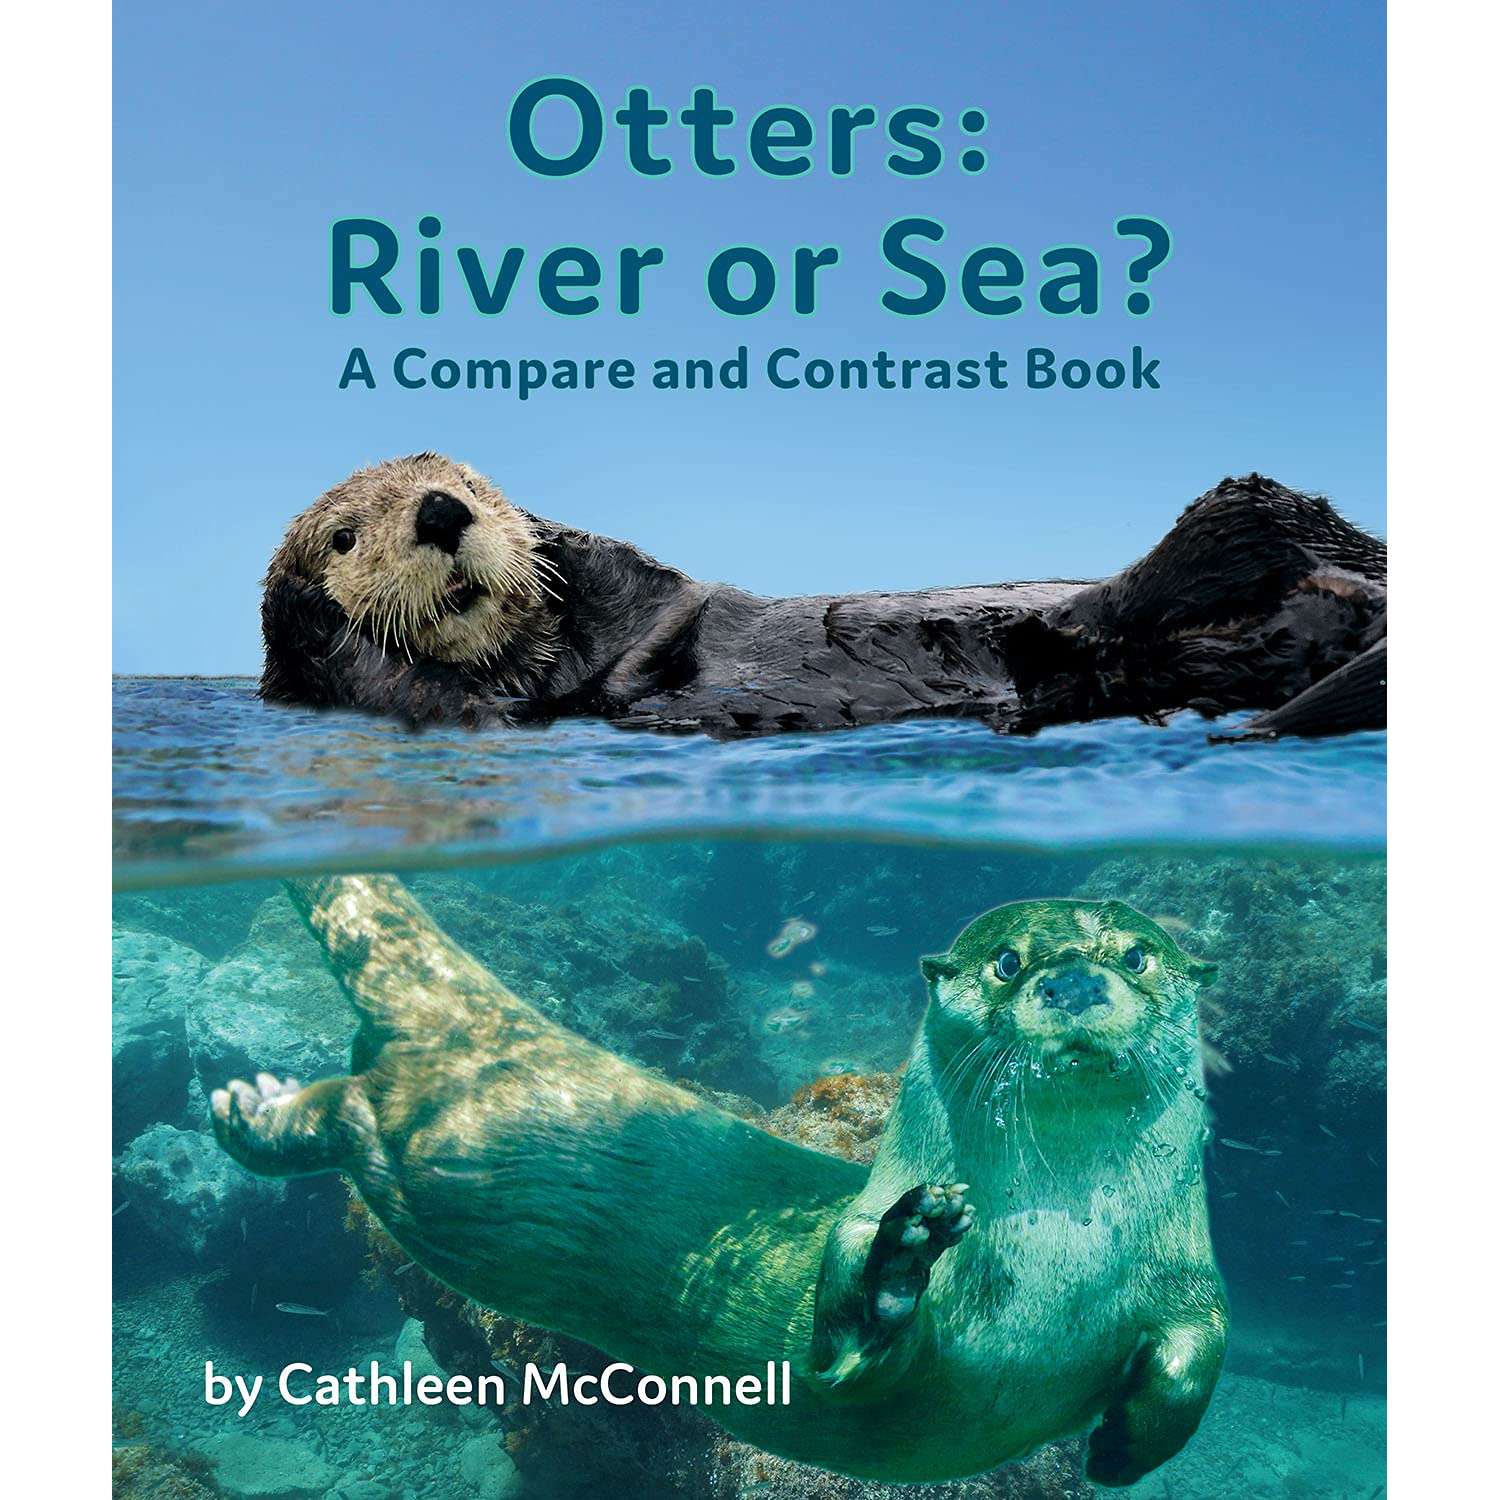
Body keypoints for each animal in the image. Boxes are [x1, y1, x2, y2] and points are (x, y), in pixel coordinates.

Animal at [212, 875, 1227, 1486]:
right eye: (1008, 962)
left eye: (1138, 955)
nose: (1074, 980)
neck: (1065, 1248)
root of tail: (487, 1020)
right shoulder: (856, 1283)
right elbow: (846, 1343)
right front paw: (903, 1252)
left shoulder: (1191, 1285)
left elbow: (1199, 1356)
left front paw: (1117, 1453)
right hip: (431, 1160)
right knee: (353, 1111)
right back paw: (246, 1110)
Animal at [260, 454, 1386, 739]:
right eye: (346, 534)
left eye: (476, 482)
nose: (444, 510)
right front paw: (318, 616)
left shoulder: (637, 597)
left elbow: (653, 591)